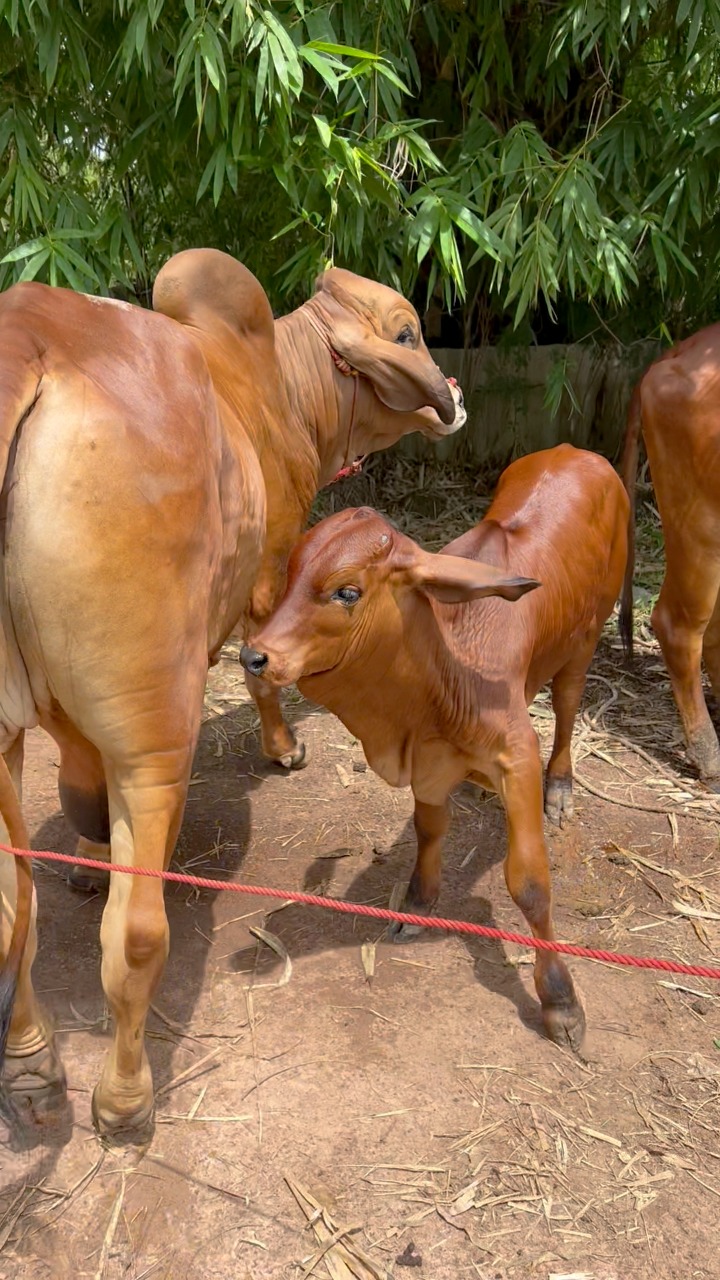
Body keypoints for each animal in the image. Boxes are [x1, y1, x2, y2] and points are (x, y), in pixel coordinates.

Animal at [0, 248, 466, 1144]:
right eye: (407, 332)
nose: (454, 393)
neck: (279, 381)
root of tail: (28, 352)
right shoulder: (272, 565)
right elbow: (260, 666)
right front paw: (284, 748)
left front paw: (84, 858)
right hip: (152, 728)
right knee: (135, 937)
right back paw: (124, 1100)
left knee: (11, 917)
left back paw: (34, 1072)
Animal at [241, 444, 629, 1051]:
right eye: (290, 575)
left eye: (347, 591)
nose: (254, 655)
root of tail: (578, 450)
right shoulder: (427, 760)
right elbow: (429, 829)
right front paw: (420, 901)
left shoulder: (517, 753)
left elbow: (530, 884)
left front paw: (561, 1000)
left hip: (585, 637)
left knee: (567, 708)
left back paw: (561, 786)